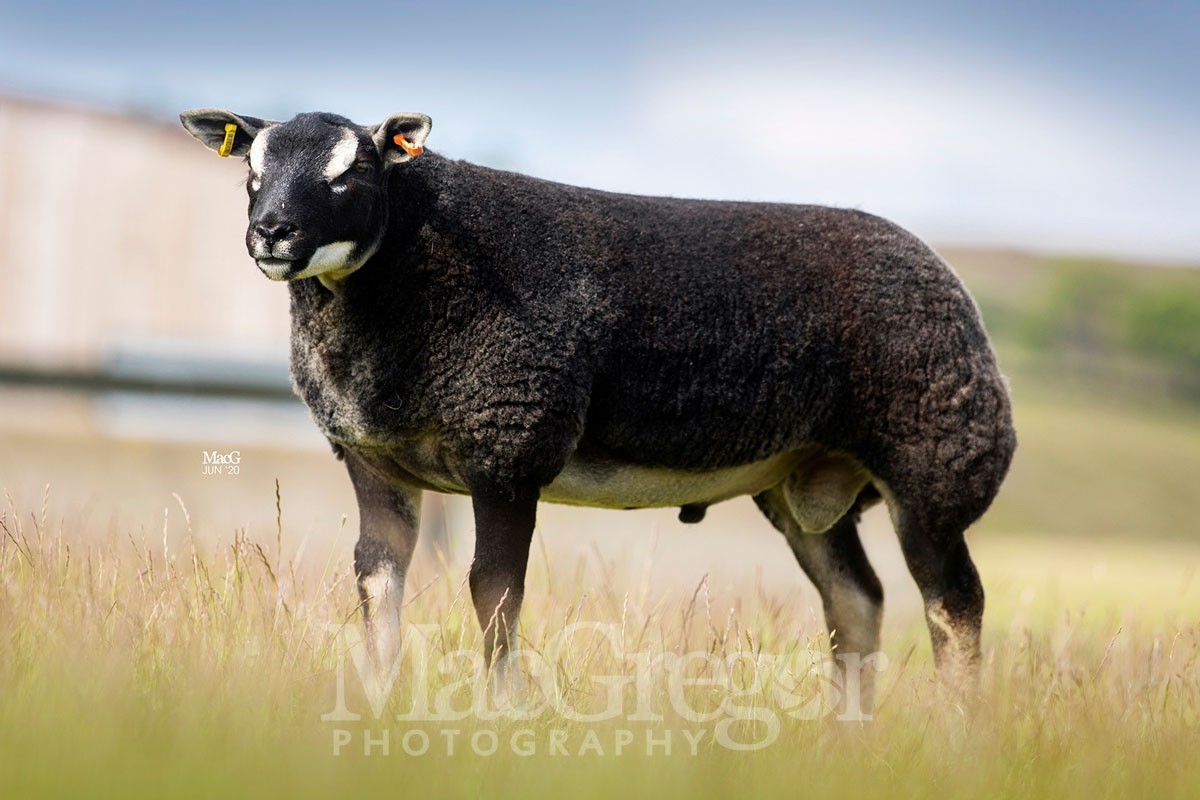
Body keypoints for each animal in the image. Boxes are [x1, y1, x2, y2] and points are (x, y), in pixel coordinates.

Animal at [180, 108, 1016, 713]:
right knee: (857, 602)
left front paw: (501, 714)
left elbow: (493, 590)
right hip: (806, 484)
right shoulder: (372, 458)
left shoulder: (510, 445)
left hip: (934, 461)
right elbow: (377, 580)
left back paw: (957, 730)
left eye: (351, 173)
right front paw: (376, 705)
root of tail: (944, 275)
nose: (271, 232)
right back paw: (847, 736)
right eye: (250, 172)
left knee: (954, 606)